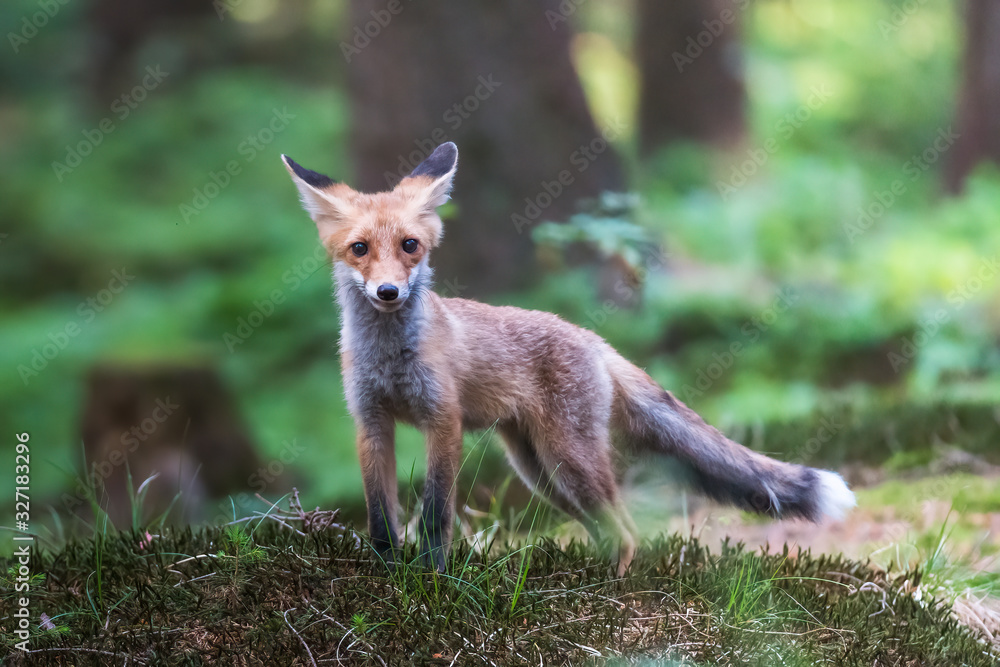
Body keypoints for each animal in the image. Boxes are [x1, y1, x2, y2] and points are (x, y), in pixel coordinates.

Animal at [281, 142, 856, 574]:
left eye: (410, 245)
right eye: (359, 249)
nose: (388, 292)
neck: (391, 356)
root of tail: (592, 339)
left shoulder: (442, 421)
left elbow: (436, 515)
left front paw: (433, 580)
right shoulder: (371, 422)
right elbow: (381, 517)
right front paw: (385, 574)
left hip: (568, 459)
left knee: (626, 530)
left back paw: (607, 594)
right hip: (541, 471)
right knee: (607, 528)